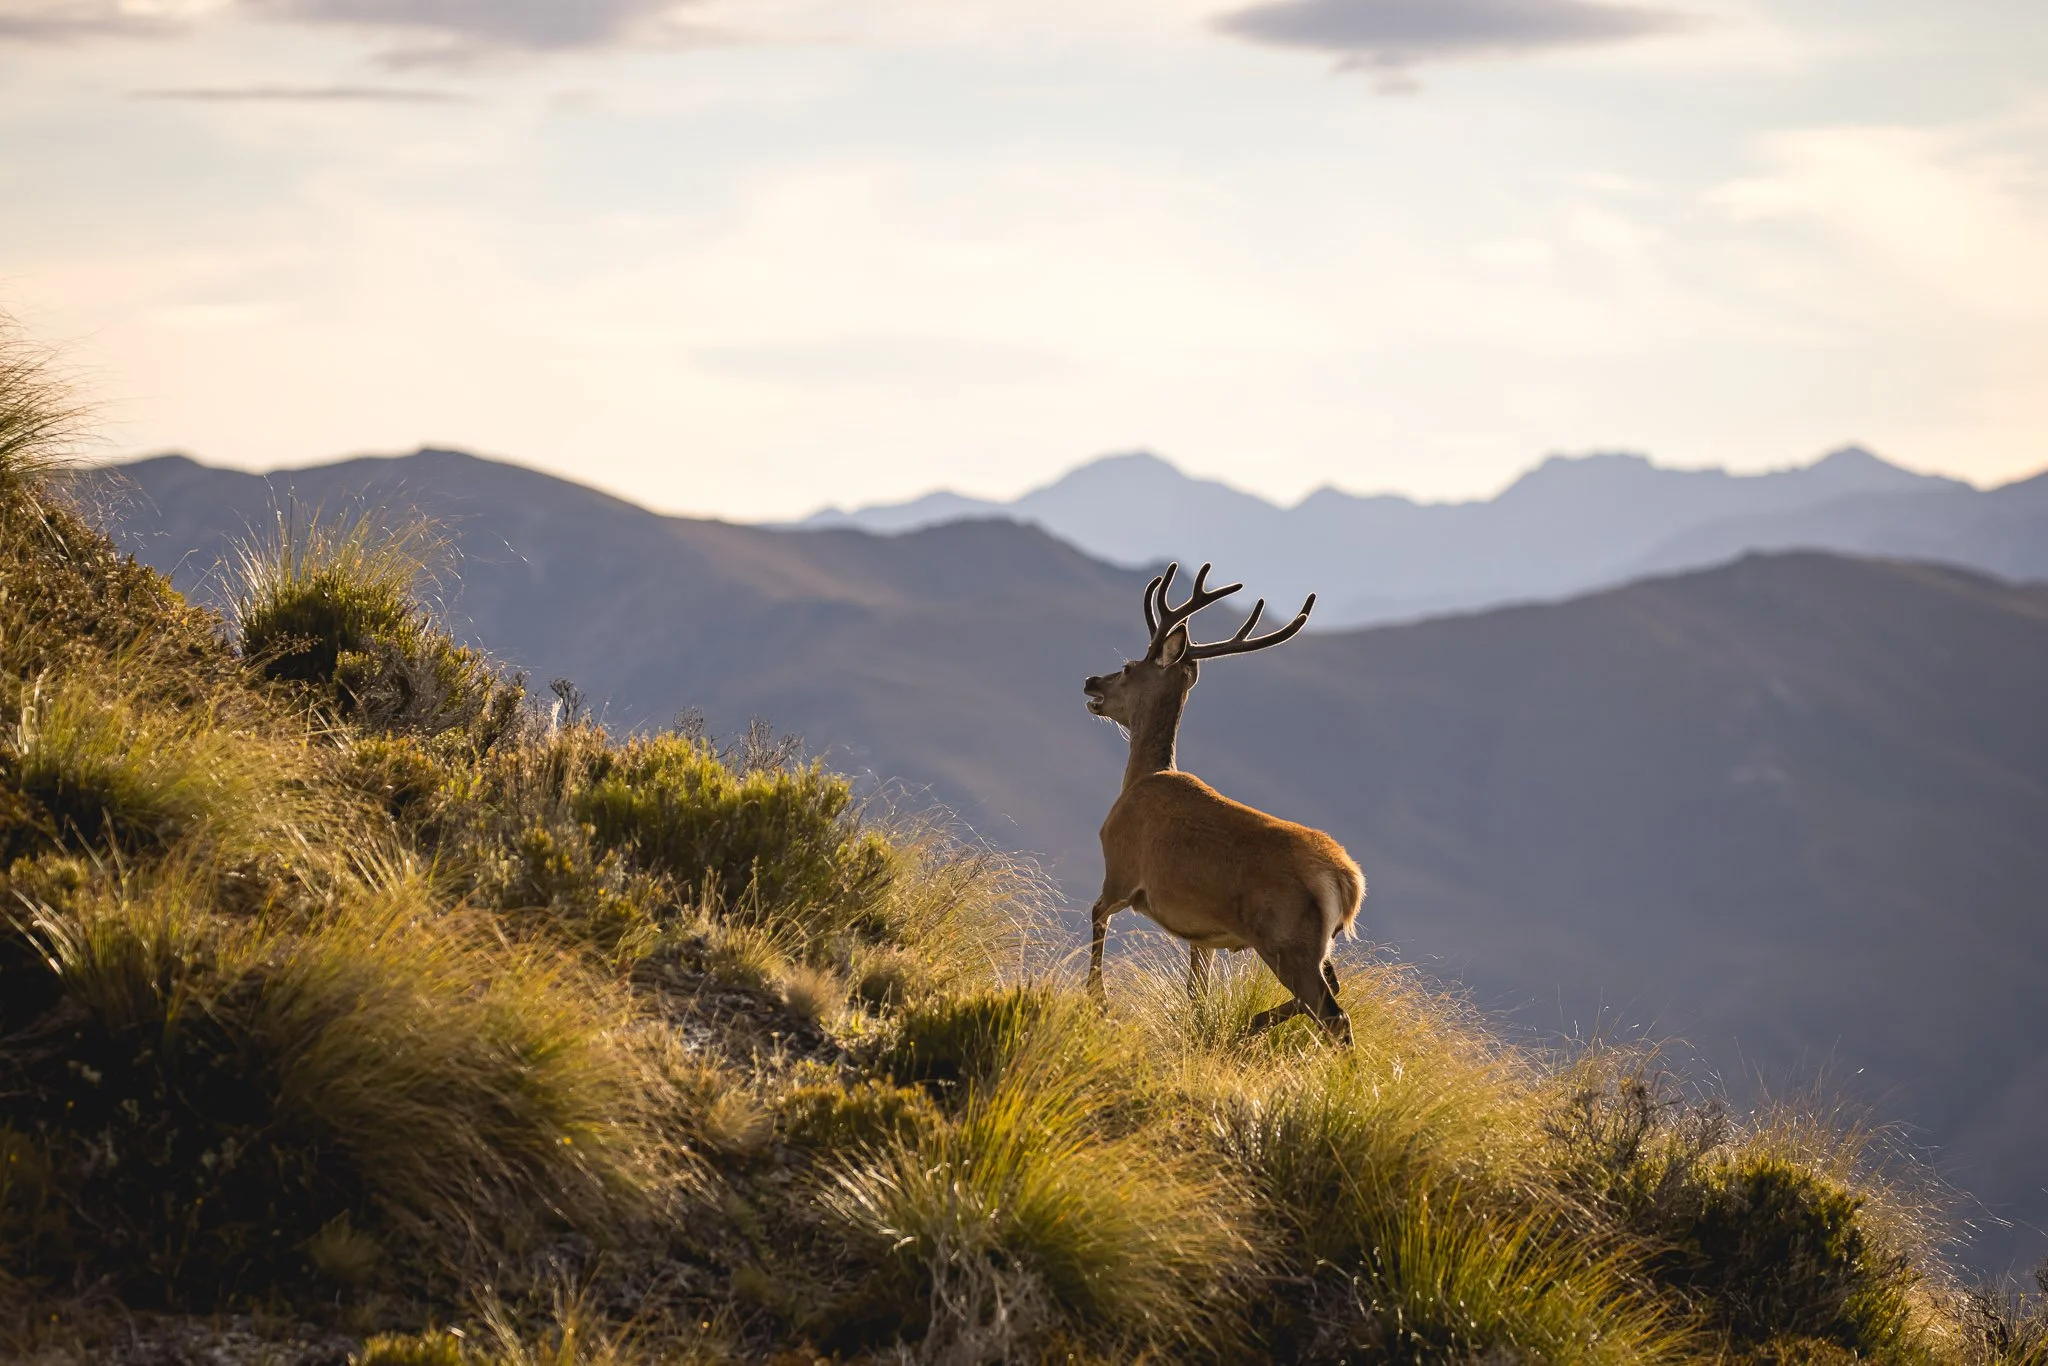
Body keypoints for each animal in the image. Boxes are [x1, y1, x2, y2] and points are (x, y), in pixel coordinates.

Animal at [1082, 563, 1365, 1043]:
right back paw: (1250, 1025)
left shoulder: (1122, 870)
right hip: (1314, 944)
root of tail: (1349, 882)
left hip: (1286, 939)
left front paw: (1097, 1000)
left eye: (1127, 666)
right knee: (1328, 993)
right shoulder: (1204, 934)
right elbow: (1198, 992)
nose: (1090, 681)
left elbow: (1097, 916)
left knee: (1334, 1016)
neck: (1140, 779)